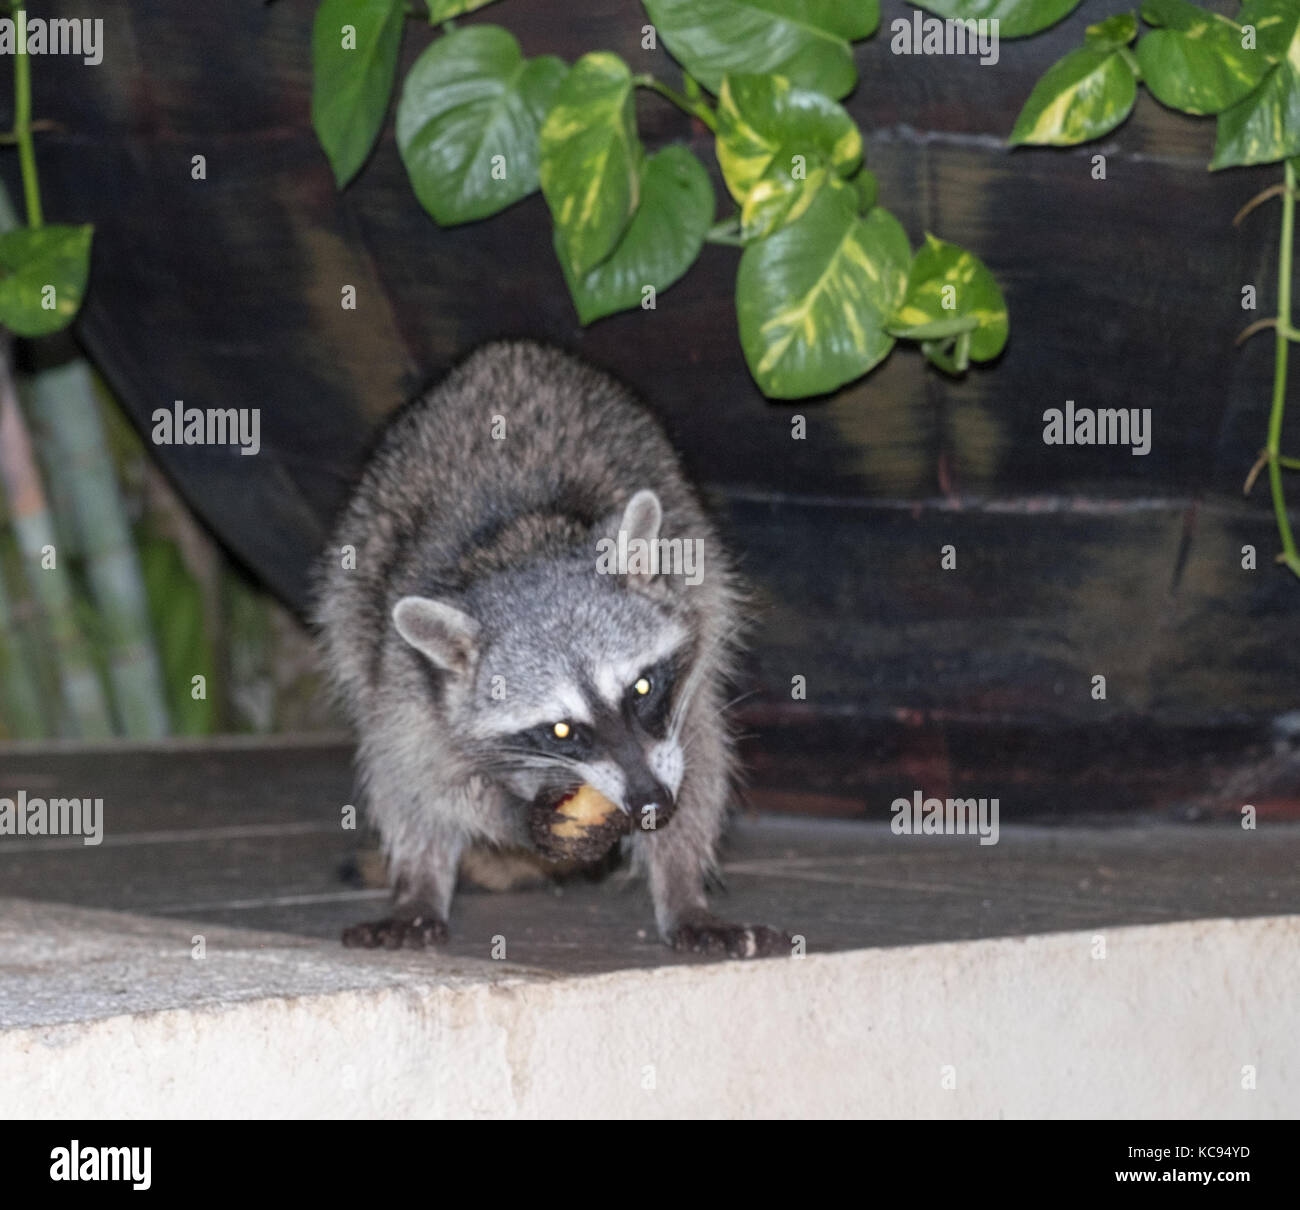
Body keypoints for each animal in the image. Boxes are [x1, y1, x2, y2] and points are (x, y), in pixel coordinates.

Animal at [315, 341, 788, 959]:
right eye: (562, 730)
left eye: (641, 688)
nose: (650, 803)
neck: (520, 547)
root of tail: (505, 351)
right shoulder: (406, 679)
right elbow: (423, 774)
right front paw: (507, 820)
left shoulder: (696, 634)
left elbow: (701, 756)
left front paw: (681, 879)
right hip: (353, 597)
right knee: (393, 768)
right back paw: (420, 882)